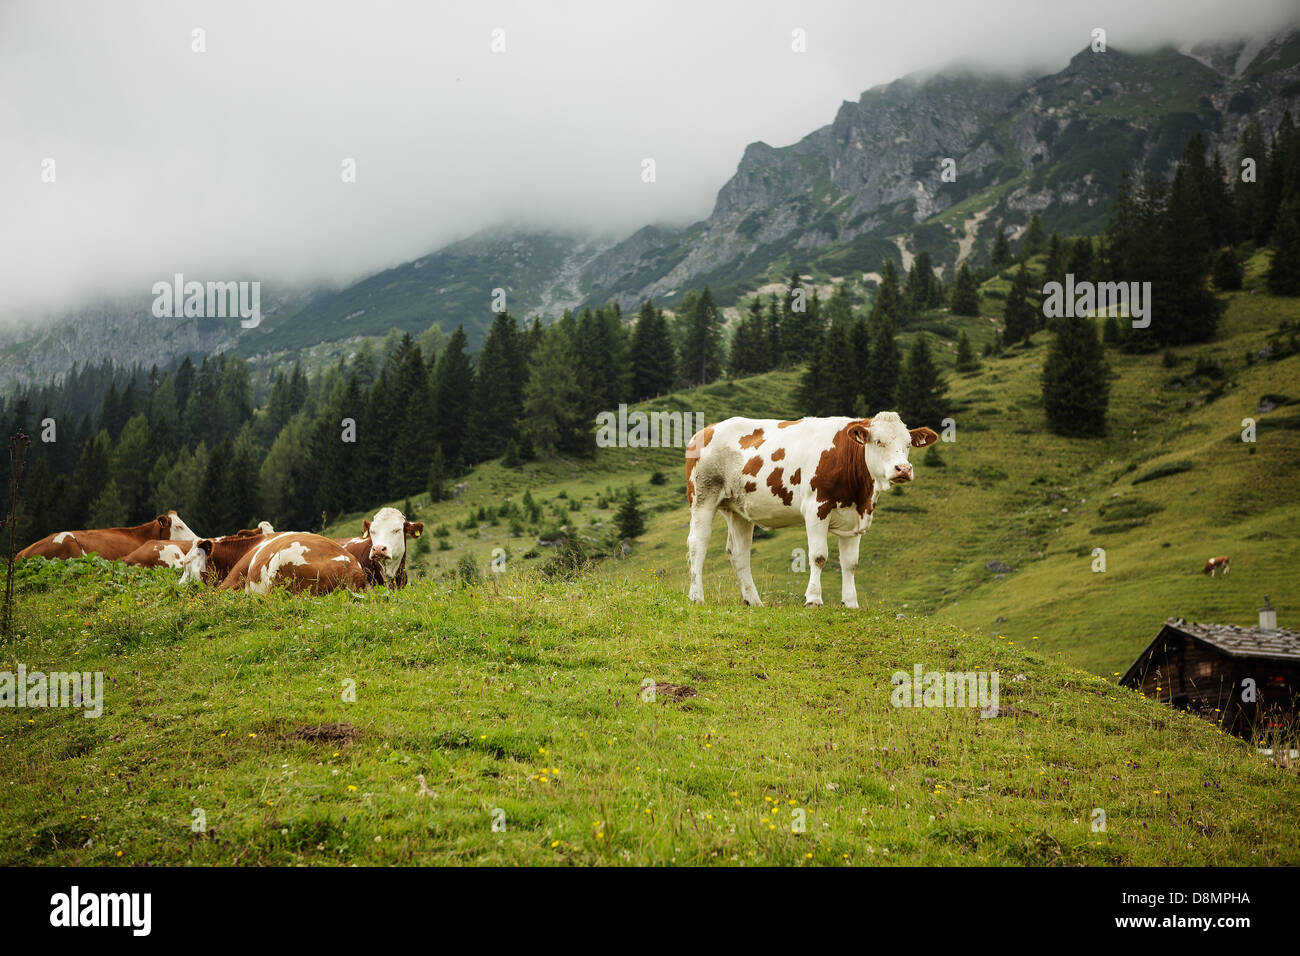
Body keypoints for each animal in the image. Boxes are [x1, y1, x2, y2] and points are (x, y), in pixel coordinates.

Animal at [685, 412, 938, 608]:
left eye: (907, 444)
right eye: (878, 441)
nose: (903, 468)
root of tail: (706, 429)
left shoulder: (855, 517)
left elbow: (850, 563)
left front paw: (851, 603)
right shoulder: (817, 509)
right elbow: (819, 556)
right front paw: (814, 599)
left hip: (738, 510)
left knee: (739, 552)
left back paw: (754, 601)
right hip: (703, 497)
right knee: (698, 543)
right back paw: (696, 597)